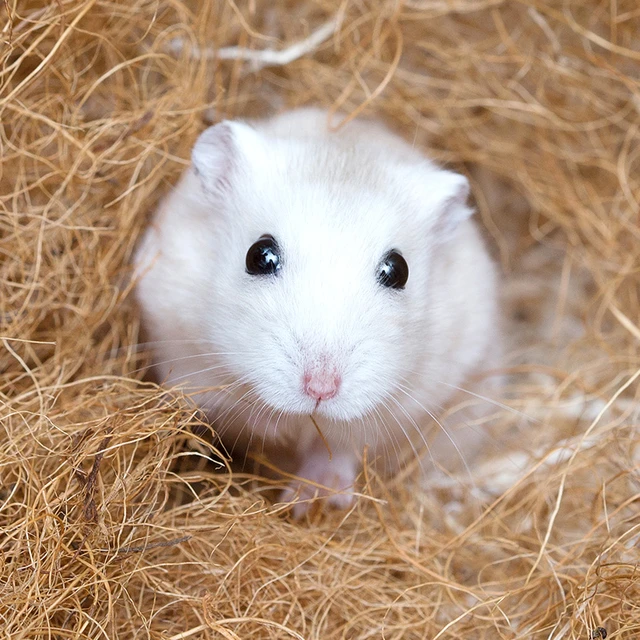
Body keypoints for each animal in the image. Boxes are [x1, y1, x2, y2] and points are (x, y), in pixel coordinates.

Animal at [134, 107, 501, 517]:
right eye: (260, 255)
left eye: (398, 270)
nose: (320, 389)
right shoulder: (178, 348)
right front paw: (276, 431)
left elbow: (342, 444)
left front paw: (310, 500)